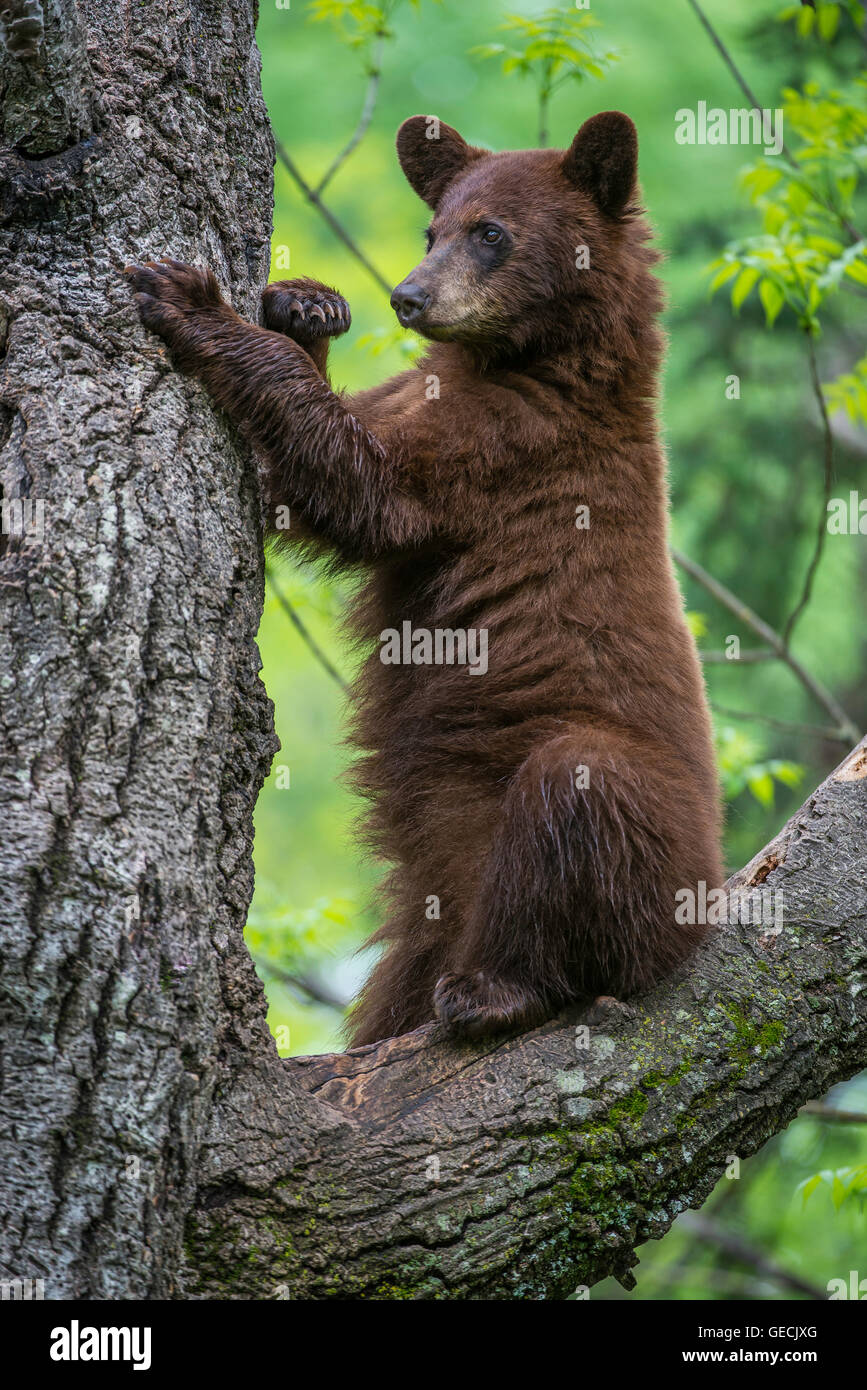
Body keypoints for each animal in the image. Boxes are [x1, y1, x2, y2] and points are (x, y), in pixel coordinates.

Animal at [126, 110, 724, 1047]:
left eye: (492, 233)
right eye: (430, 230)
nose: (407, 297)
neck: (538, 361)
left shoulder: (510, 448)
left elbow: (368, 486)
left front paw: (191, 299)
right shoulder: (429, 394)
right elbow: (306, 479)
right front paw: (306, 303)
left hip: (640, 839)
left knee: (576, 795)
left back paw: (497, 989)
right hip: (420, 927)